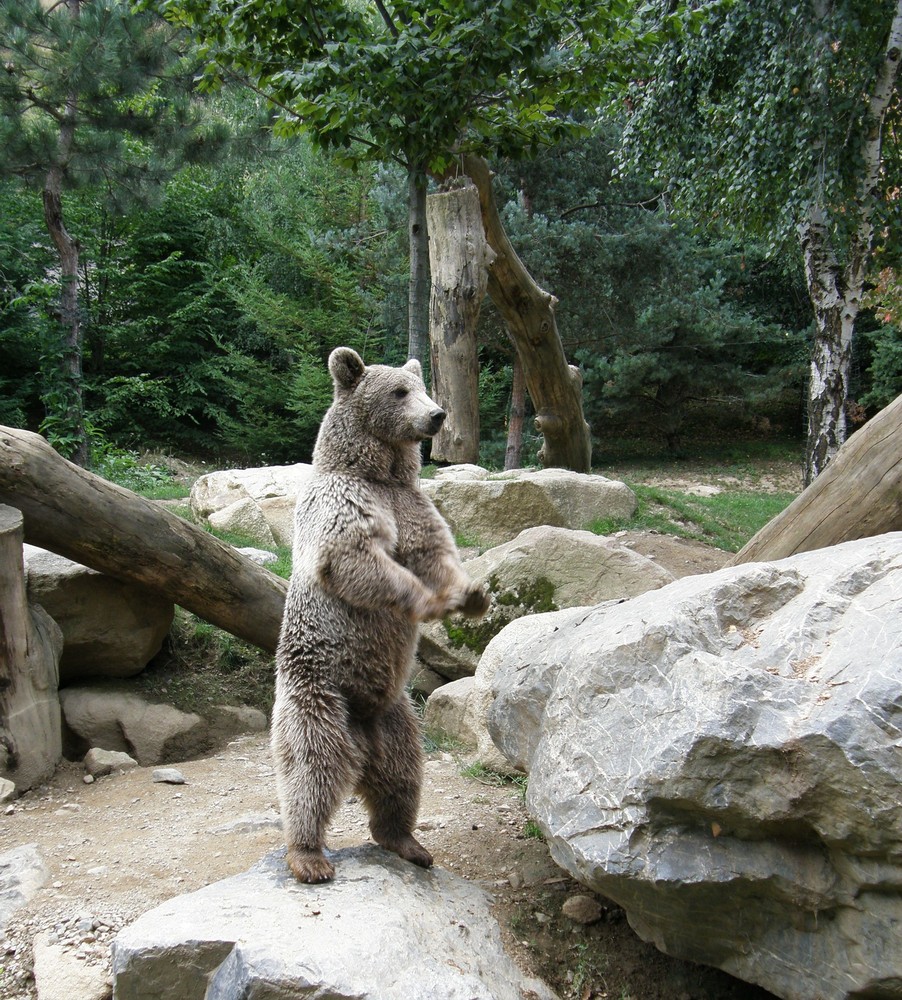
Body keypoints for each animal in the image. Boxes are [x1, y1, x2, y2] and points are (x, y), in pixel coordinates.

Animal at [274, 346, 490, 884]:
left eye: (423, 387)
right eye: (399, 392)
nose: (437, 415)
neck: (381, 472)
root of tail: (363, 738)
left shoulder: (411, 503)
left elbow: (435, 551)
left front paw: (473, 594)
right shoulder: (344, 502)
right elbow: (353, 556)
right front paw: (431, 603)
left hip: (399, 715)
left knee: (403, 776)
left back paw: (408, 842)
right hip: (318, 694)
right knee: (313, 769)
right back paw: (308, 855)